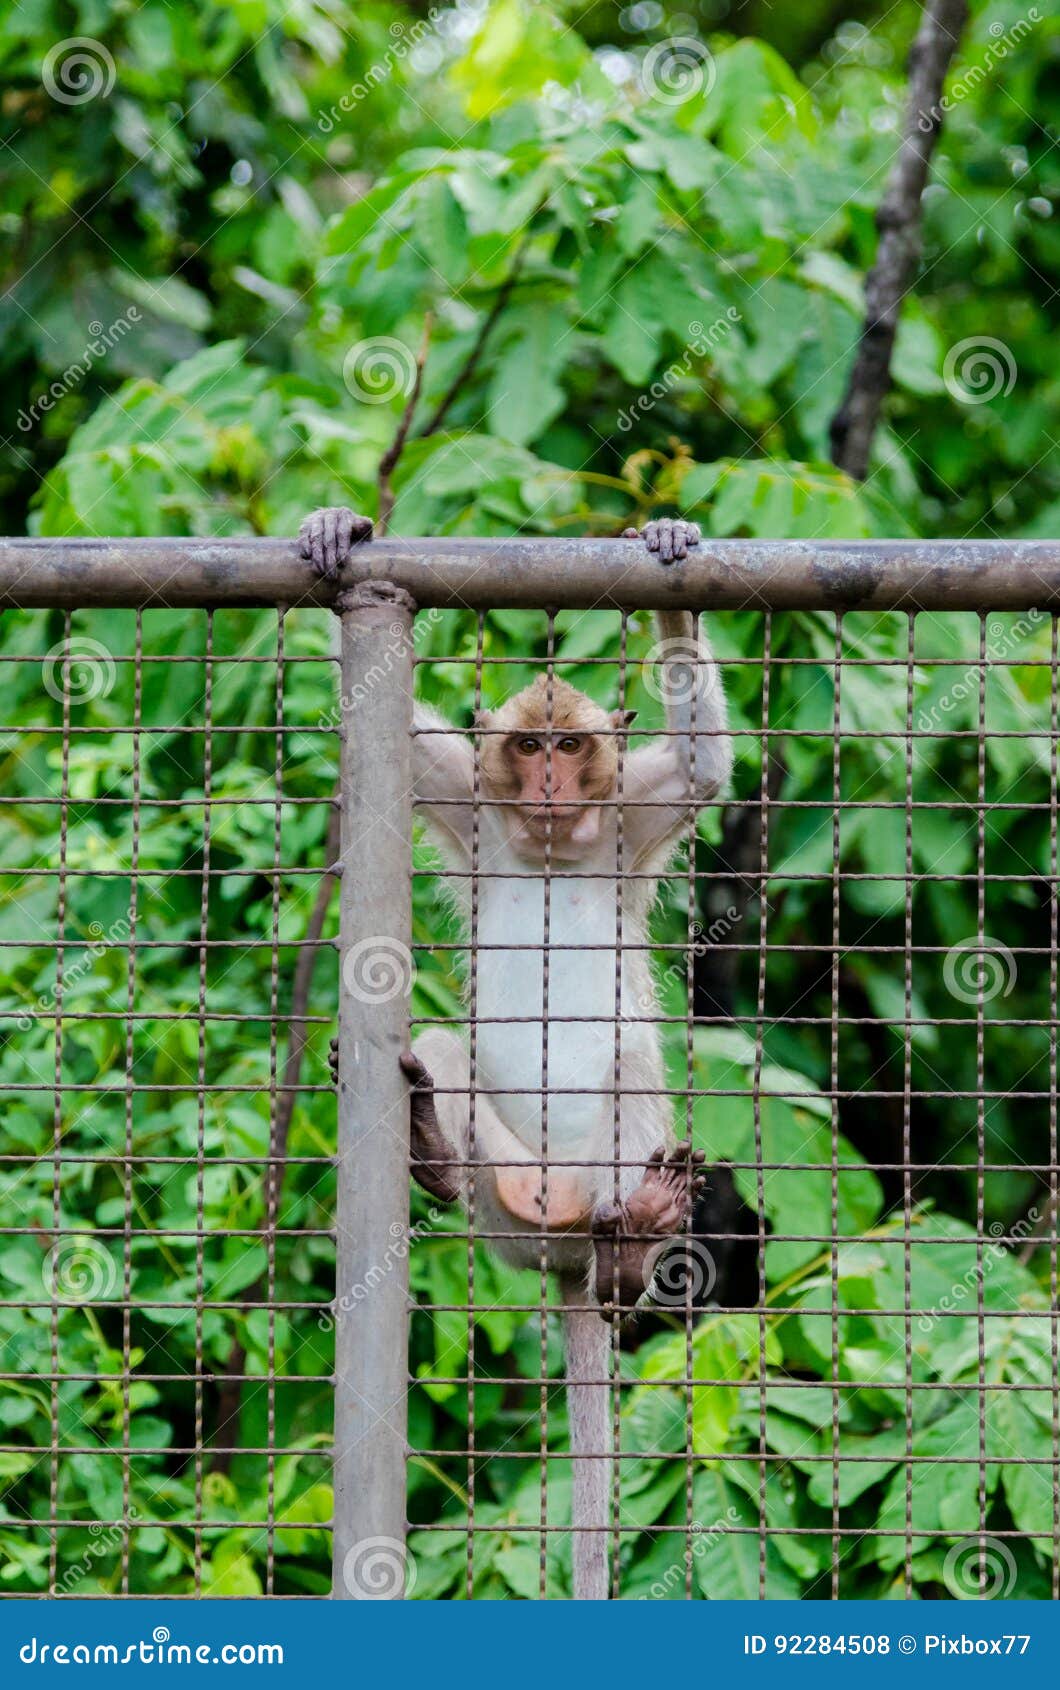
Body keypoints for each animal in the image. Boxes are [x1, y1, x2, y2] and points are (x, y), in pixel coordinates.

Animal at [300, 507, 731, 1599]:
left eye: (571, 744)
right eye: (528, 743)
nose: (544, 781)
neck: (550, 847)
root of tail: (568, 1244)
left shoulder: (629, 817)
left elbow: (699, 770)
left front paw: (674, 564)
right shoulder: (468, 800)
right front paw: (331, 537)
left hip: (601, 1173)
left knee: (627, 1057)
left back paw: (636, 1237)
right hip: (507, 1211)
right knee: (442, 1059)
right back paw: (433, 1151)